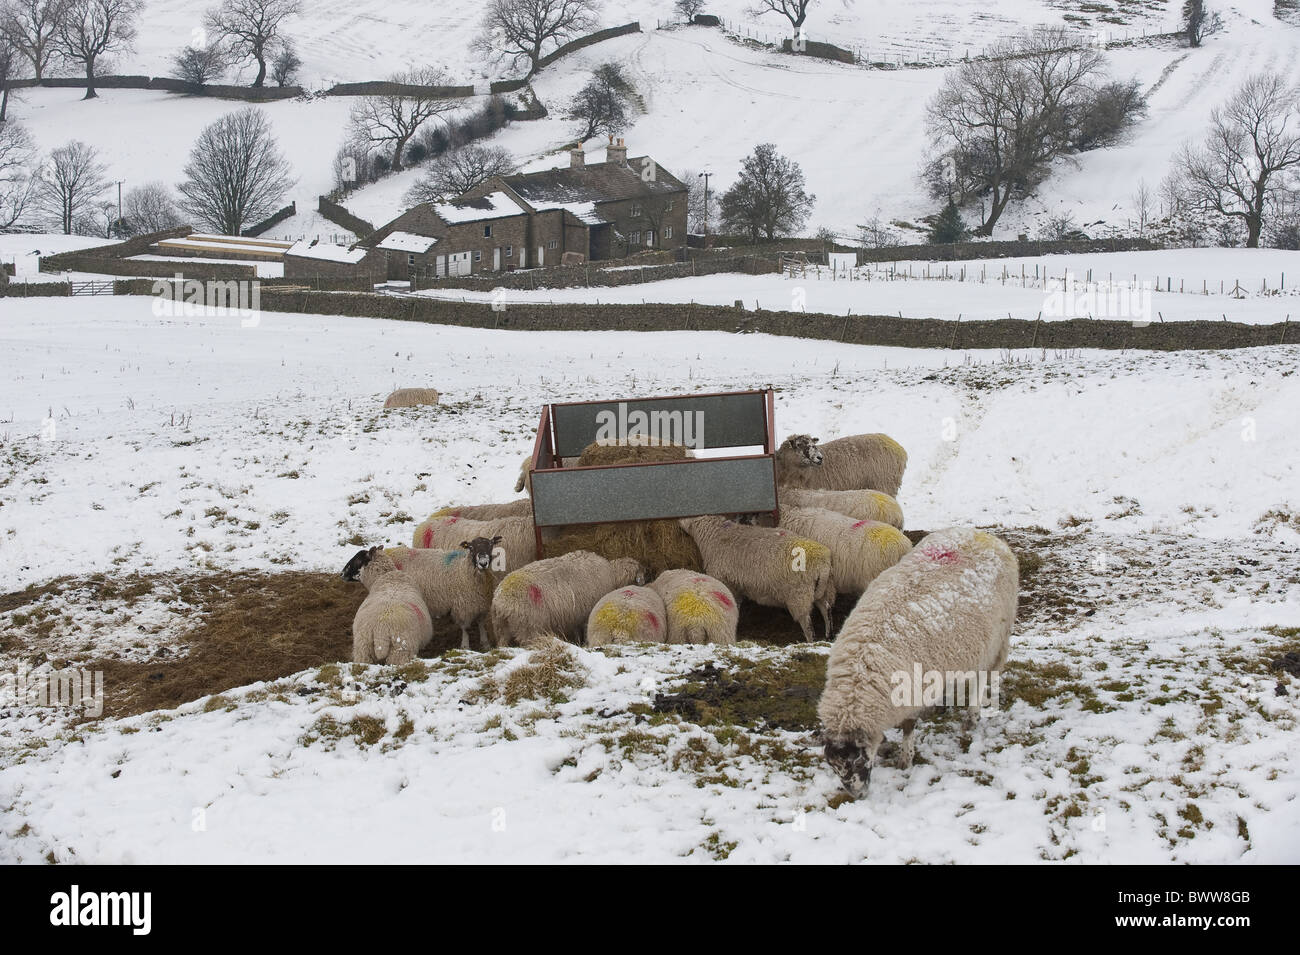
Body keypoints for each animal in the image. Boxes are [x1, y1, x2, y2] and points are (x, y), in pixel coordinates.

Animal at [342, 537, 503, 651]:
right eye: (471, 547)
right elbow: (465, 628)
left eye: (491, 545)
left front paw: (485, 643)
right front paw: (465, 646)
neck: (464, 570)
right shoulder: (463, 606)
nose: (342, 573)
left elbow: (480, 623)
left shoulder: (479, 604)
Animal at [491, 550, 645, 647]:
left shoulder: (576, 615)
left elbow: (577, 632)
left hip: (501, 628)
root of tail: (500, 600)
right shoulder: (585, 613)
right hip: (529, 627)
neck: (612, 575)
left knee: (501, 644)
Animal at [678, 515, 832, 643]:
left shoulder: (726, 581)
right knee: (826, 608)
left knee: (806, 622)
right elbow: (736, 605)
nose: (676, 521)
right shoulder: (736, 586)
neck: (713, 535)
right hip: (820, 588)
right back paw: (828, 634)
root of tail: (822, 563)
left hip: (799, 592)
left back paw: (811, 641)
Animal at [817, 527, 1019, 798]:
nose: (858, 796)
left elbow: (908, 726)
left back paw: (971, 717)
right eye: (833, 766)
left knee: (983, 678)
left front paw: (905, 759)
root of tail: (982, 534)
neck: (863, 666)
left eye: (857, 761)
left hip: (998, 639)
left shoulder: (910, 689)